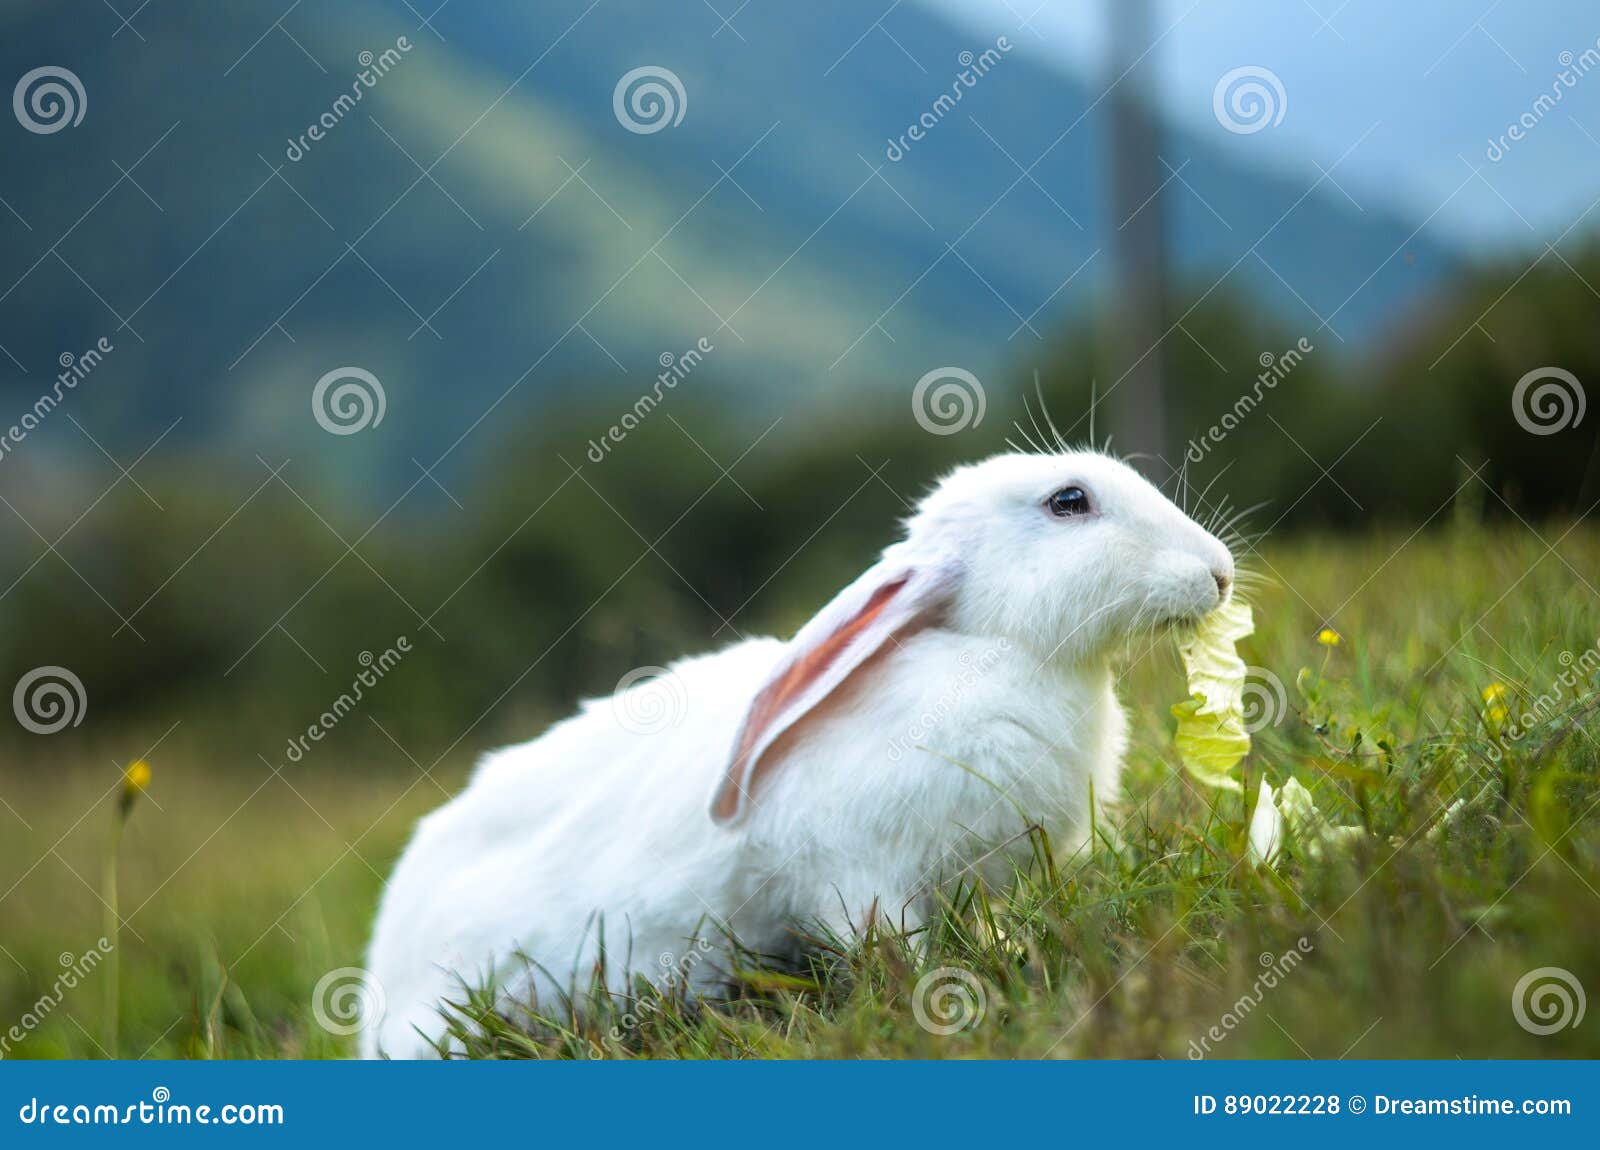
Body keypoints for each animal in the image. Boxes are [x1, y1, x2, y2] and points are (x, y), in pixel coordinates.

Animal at [360, 449, 1235, 1058]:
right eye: (1069, 501)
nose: (1221, 572)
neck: (994, 652)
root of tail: (374, 985)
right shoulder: (856, 876)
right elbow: (893, 950)